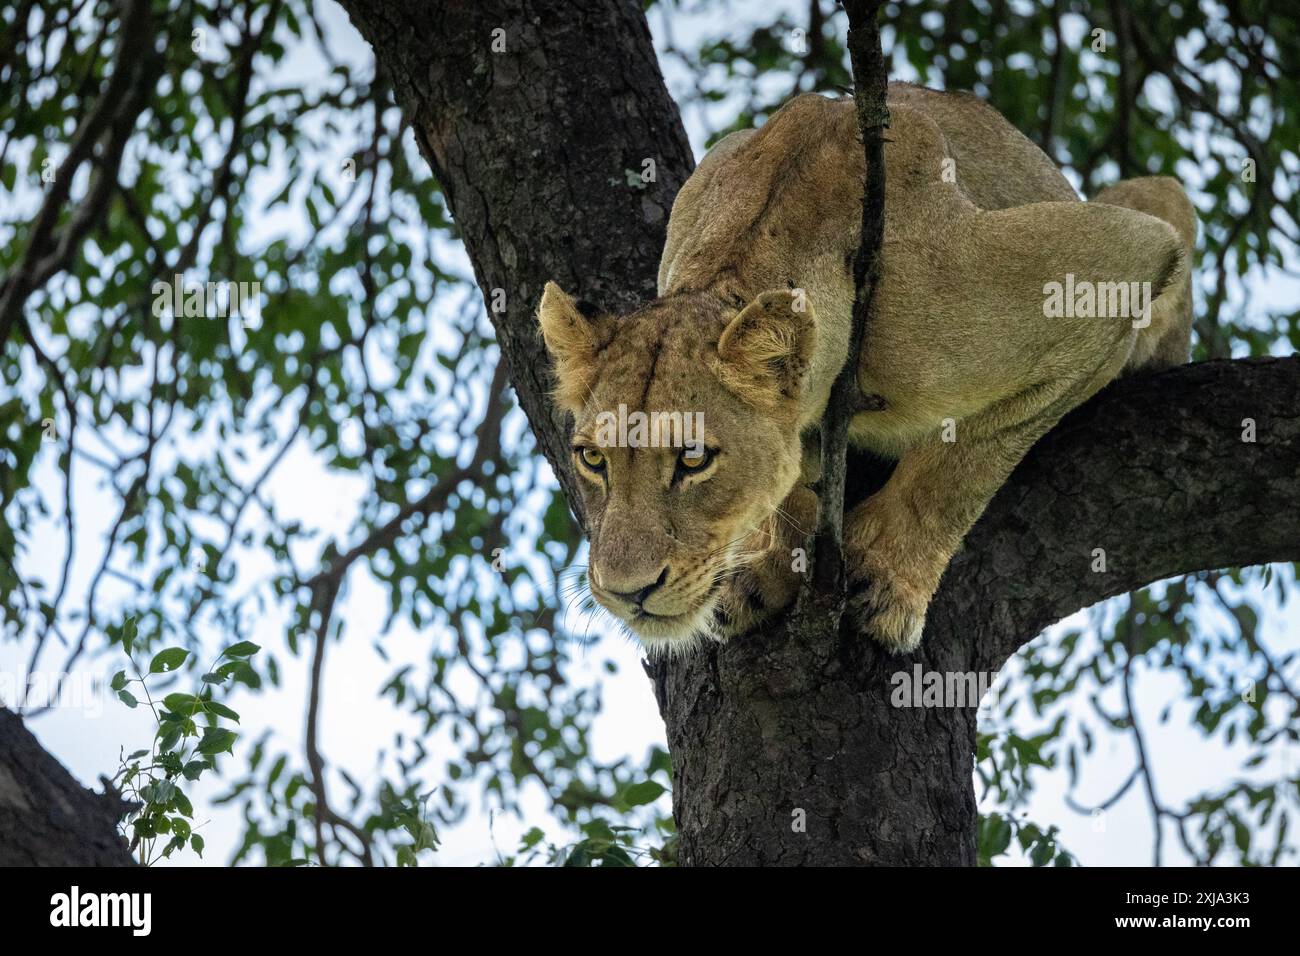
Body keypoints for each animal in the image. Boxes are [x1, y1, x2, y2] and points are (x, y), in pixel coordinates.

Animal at [536, 84, 1197, 655]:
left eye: (694, 459)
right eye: (592, 459)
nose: (627, 593)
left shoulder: (1113, 263)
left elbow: (960, 466)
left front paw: (886, 582)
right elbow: (791, 479)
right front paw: (768, 567)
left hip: (1156, 202)